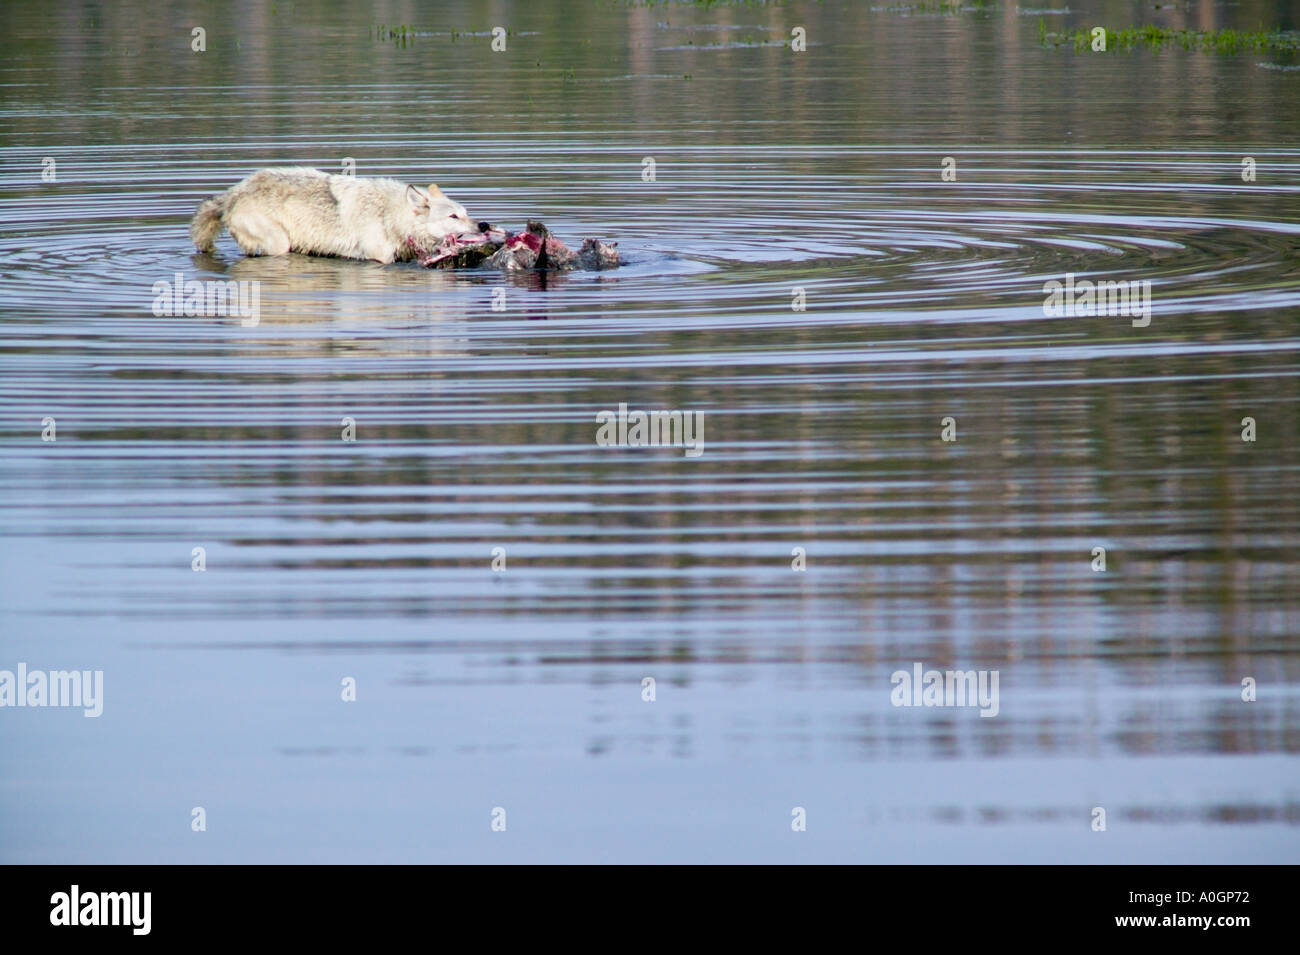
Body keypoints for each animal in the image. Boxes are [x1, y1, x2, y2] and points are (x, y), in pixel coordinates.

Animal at [189, 167, 480, 263]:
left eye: (466, 214)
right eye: (453, 217)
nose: (485, 225)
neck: (388, 215)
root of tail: (234, 192)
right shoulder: (381, 259)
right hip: (280, 243)